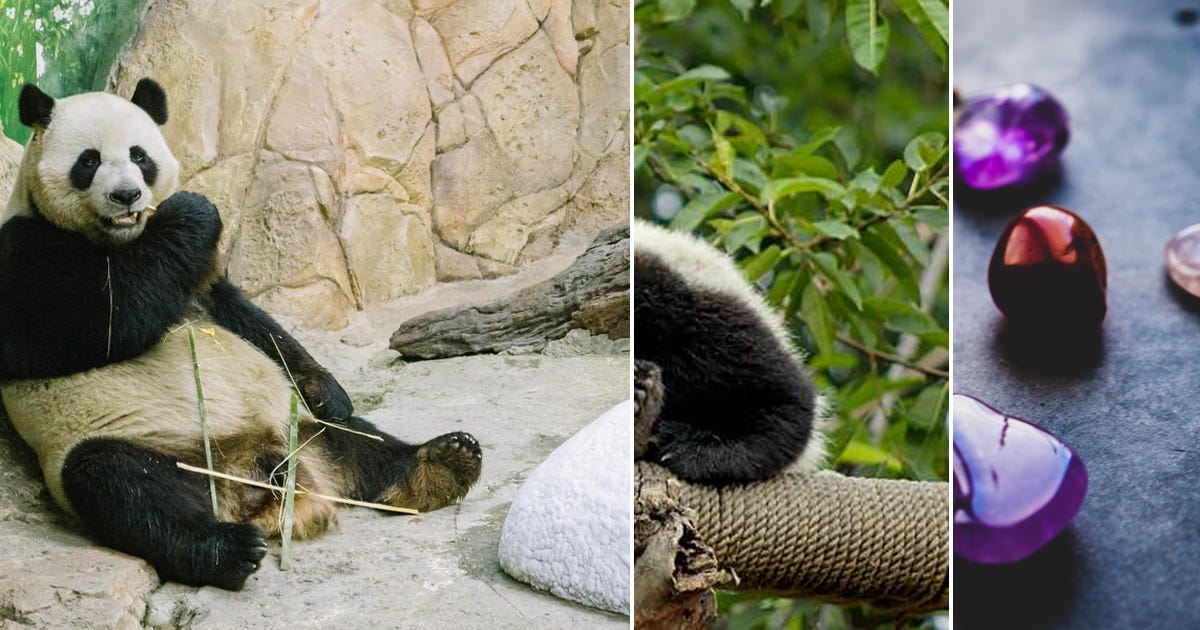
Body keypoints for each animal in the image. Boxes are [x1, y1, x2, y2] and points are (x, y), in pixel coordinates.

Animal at [0, 79, 483, 591]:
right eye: (88, 161)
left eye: (139, 155)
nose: (127, 195)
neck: (122, 240)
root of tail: (253, 484)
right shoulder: (24, 249)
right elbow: (90, 324)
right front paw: (192, 212)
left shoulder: (200, 279)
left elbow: (248, 319)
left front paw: (328, 388)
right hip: (128, 442)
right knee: (123, 485)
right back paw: (226, 549)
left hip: (295, 424)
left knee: (356, 438)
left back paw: (444, 462)